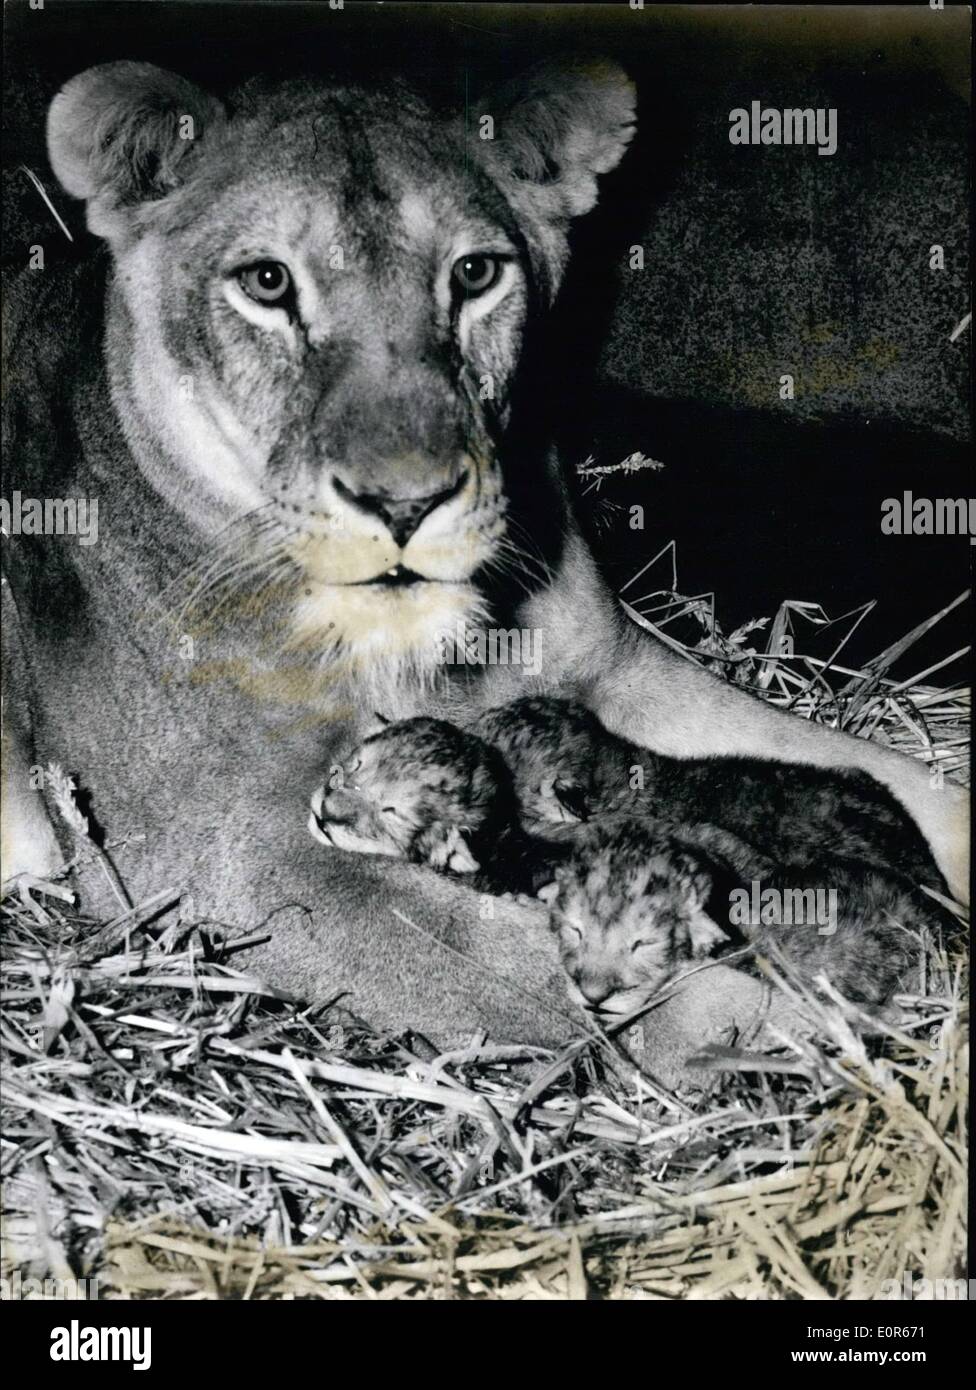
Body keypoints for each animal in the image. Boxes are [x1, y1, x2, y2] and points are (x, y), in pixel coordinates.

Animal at [1, 58, 967, 1084]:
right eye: (266, 282)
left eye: (474, 274)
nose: (406, 503)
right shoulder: (209, 852)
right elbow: (536, 966)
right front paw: (794, 1018)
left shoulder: (617, 673)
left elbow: (900, 784)